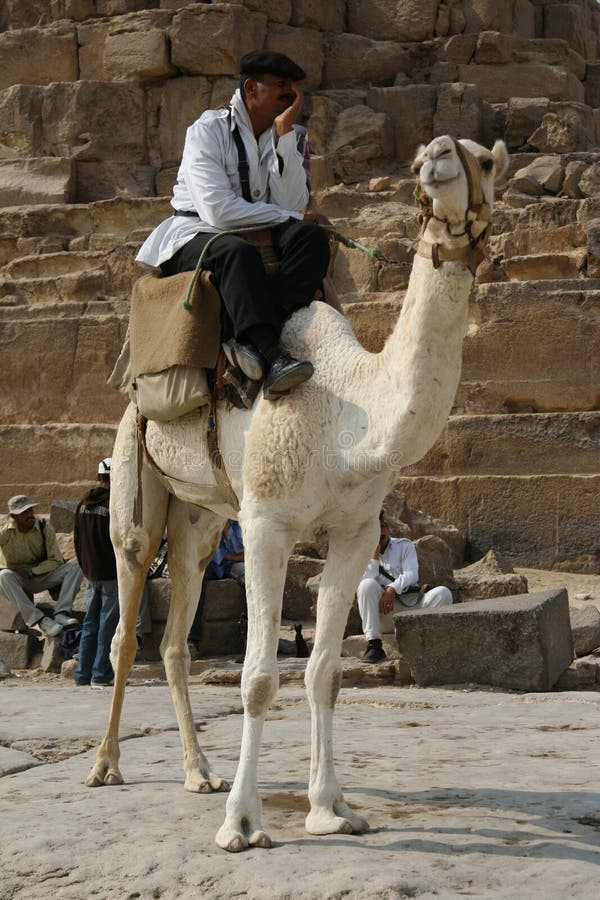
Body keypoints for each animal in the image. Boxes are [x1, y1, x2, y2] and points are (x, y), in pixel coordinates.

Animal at [85, 134, 508, 852]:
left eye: (485, 160)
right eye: (426, 157)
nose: (438, 156)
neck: (350, 416)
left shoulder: (355, 532)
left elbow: (325, 673)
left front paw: (332, 808)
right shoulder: (267, 525)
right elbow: (258, 678)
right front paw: (243, 825)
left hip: (201, 519)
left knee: (175, 638)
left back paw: (200, 772)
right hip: (135, 480)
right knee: (128, 613)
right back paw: (107, 765)